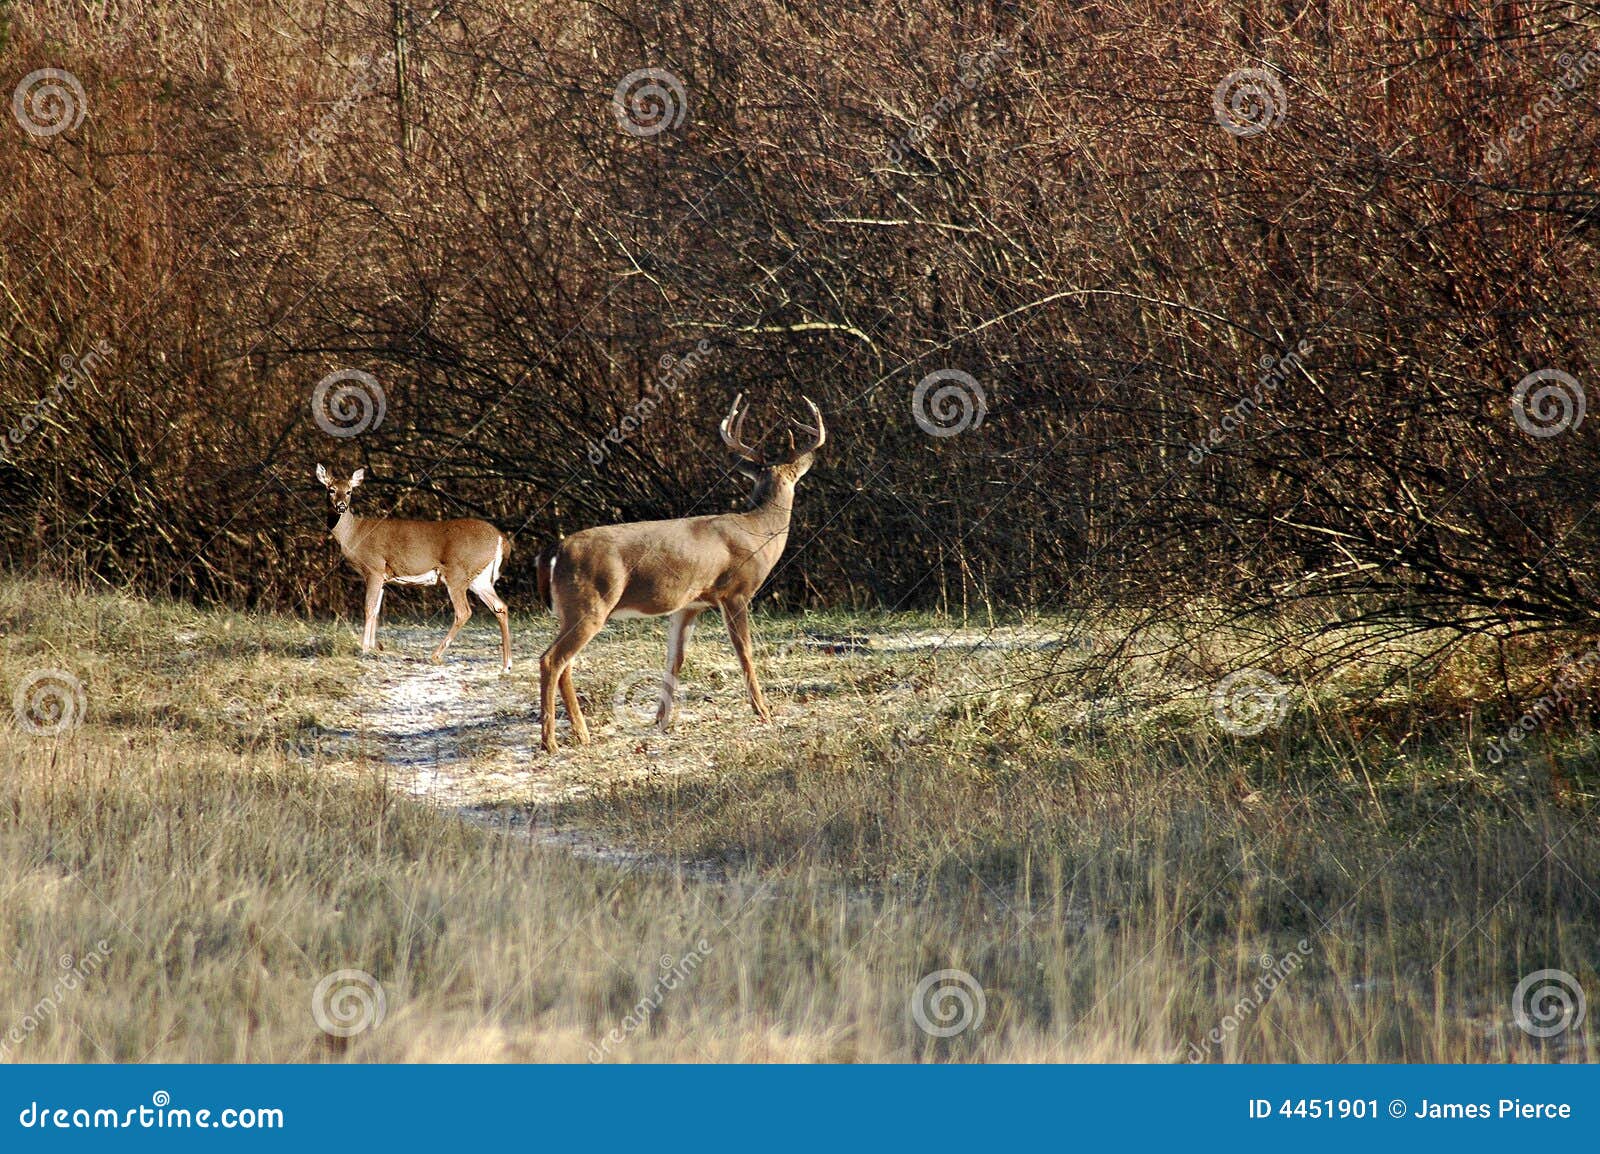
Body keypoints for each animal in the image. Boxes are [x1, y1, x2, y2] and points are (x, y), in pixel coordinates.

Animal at [316, 464, 514, 671]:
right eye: (331, 490)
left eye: (349, 491)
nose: (341, 506)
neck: (354, 535)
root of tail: (501, 539)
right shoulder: (383, 578)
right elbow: (376, 609)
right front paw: (373, 647)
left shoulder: (374, 568)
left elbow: (369, 607)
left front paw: (364, 649)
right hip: (479, 577)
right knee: (500, 606)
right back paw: (507, 665)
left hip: (457, 573)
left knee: (464, 611)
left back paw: (436, 655)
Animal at [534, 394, 825, 754]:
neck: (759, 530)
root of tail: (556, 550)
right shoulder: (735, 592)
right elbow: (744, 652)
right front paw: (764, 711)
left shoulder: (689, 605)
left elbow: (675, 660)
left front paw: (661, 720)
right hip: (591, 603)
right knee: (551, 660)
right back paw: (550, 742)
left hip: (571, 609)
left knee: (566, 664)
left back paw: (582, 735)